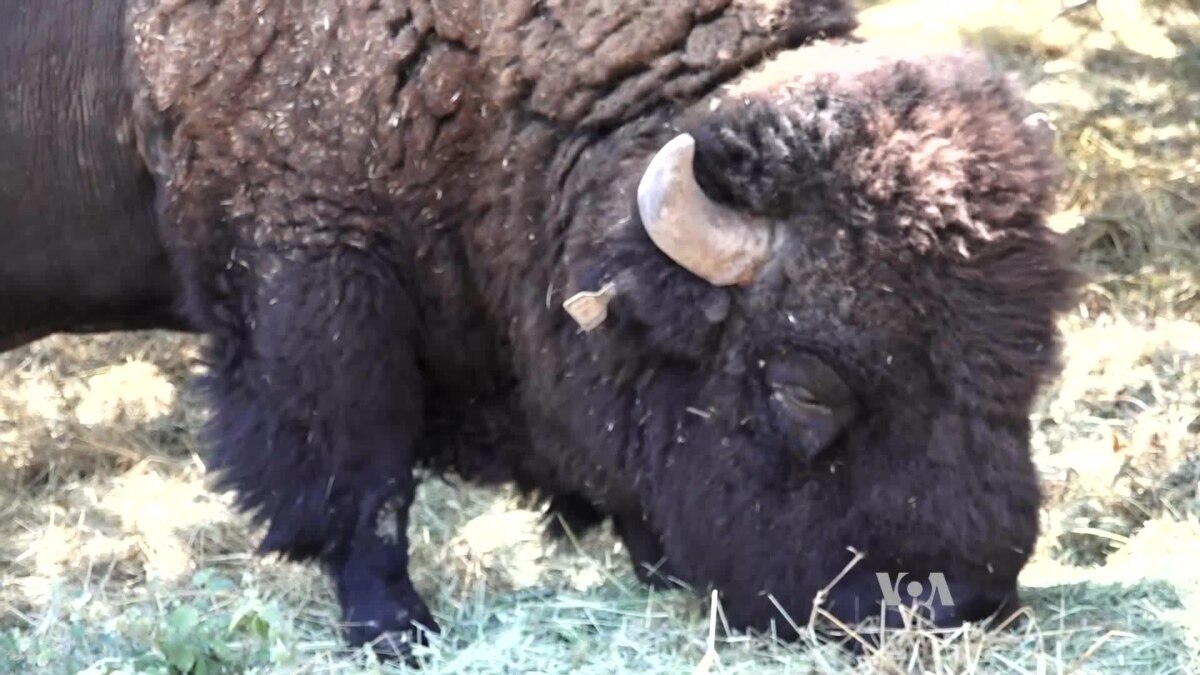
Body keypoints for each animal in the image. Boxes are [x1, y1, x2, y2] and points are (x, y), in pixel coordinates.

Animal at [2, 0, 1078, 657]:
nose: (960, 602)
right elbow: (365, 472)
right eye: (804, 386)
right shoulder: (314, 269)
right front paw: (396, 627)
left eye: (1028, 369)